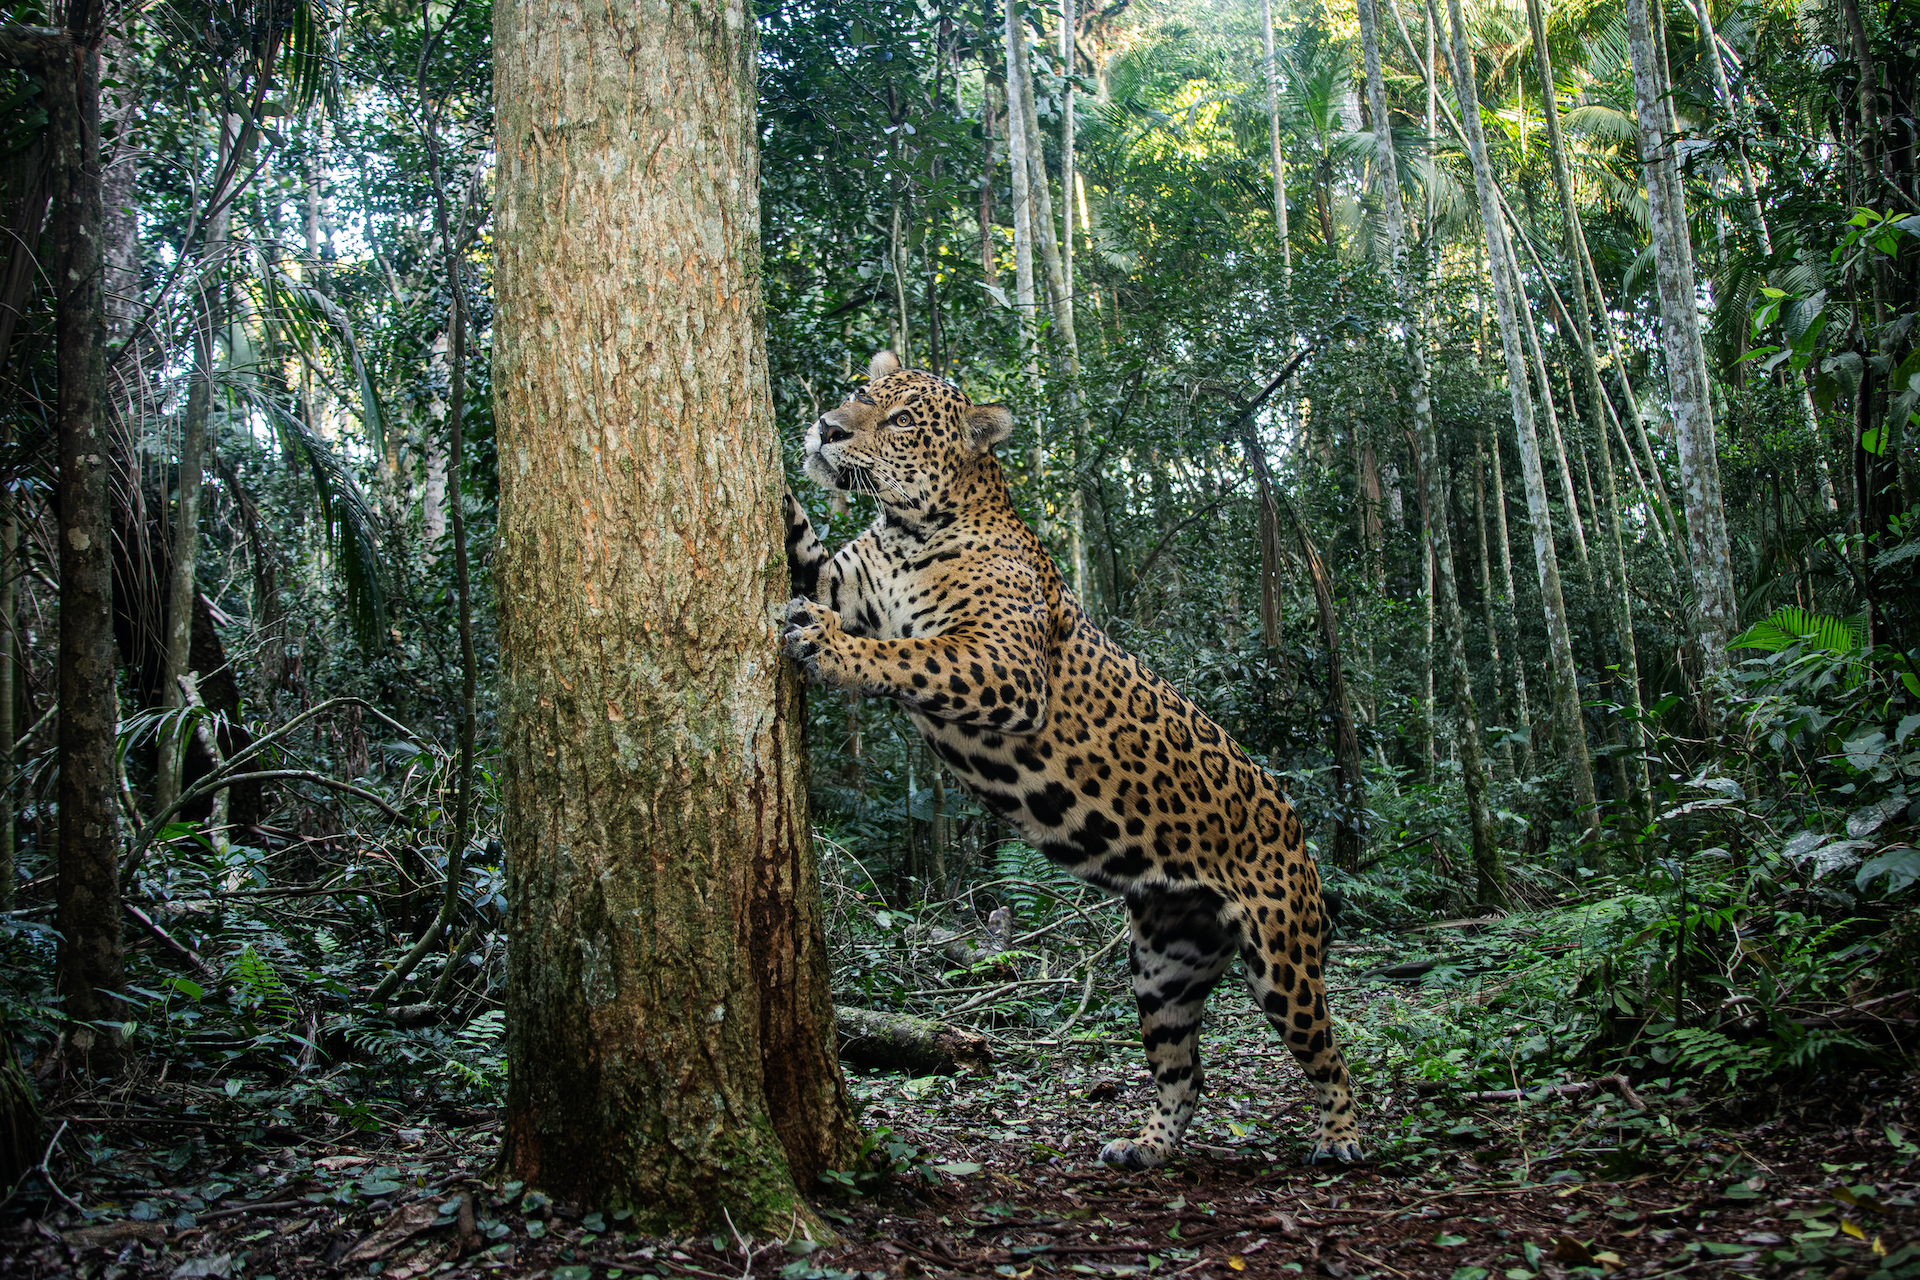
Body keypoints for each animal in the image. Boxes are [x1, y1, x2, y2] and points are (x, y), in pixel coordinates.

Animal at [781, 350, 1363, 1168]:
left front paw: (828, 645)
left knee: (1328, 1050)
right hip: (1163, 967)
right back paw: (1145, 1147)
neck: (907, 529)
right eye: (860, 393)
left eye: (899, 421)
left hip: (1282, 961)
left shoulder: (1002, 664)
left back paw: (1341, 1138)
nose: (827, 428)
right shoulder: (838, 579)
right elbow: (802, 542)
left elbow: (907, 656)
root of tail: (1296, 824)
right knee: (1187, 1073)